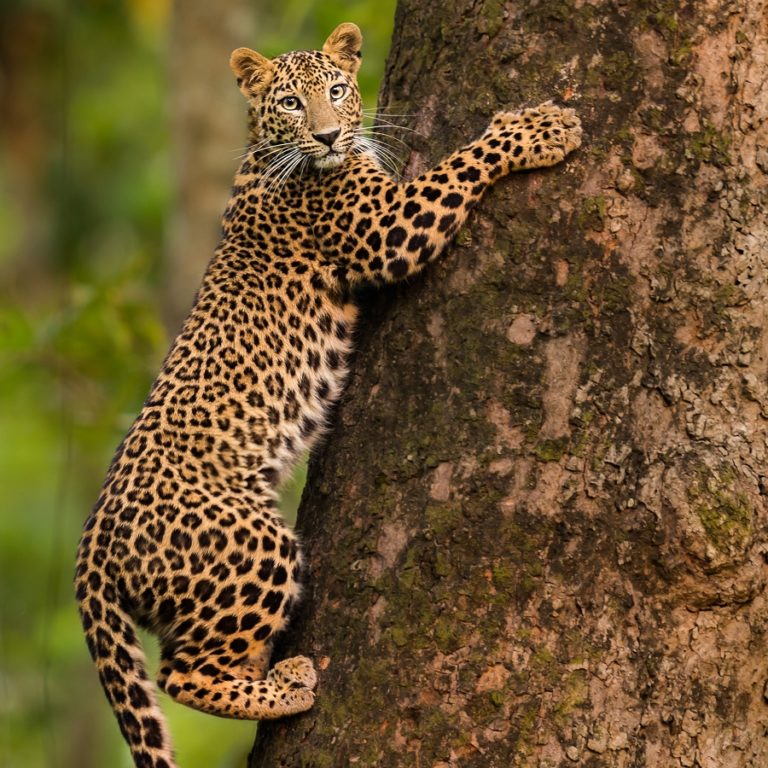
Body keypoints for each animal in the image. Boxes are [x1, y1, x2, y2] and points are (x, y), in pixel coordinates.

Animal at [74, 22, 582, 768]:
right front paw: (541, 127)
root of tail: (92, 546)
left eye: (337, 91)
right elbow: (466, 160)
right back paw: (288, 685)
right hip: (254, 547)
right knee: (182, 673)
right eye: (290, 103)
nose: (327, 136)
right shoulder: (390, 226)